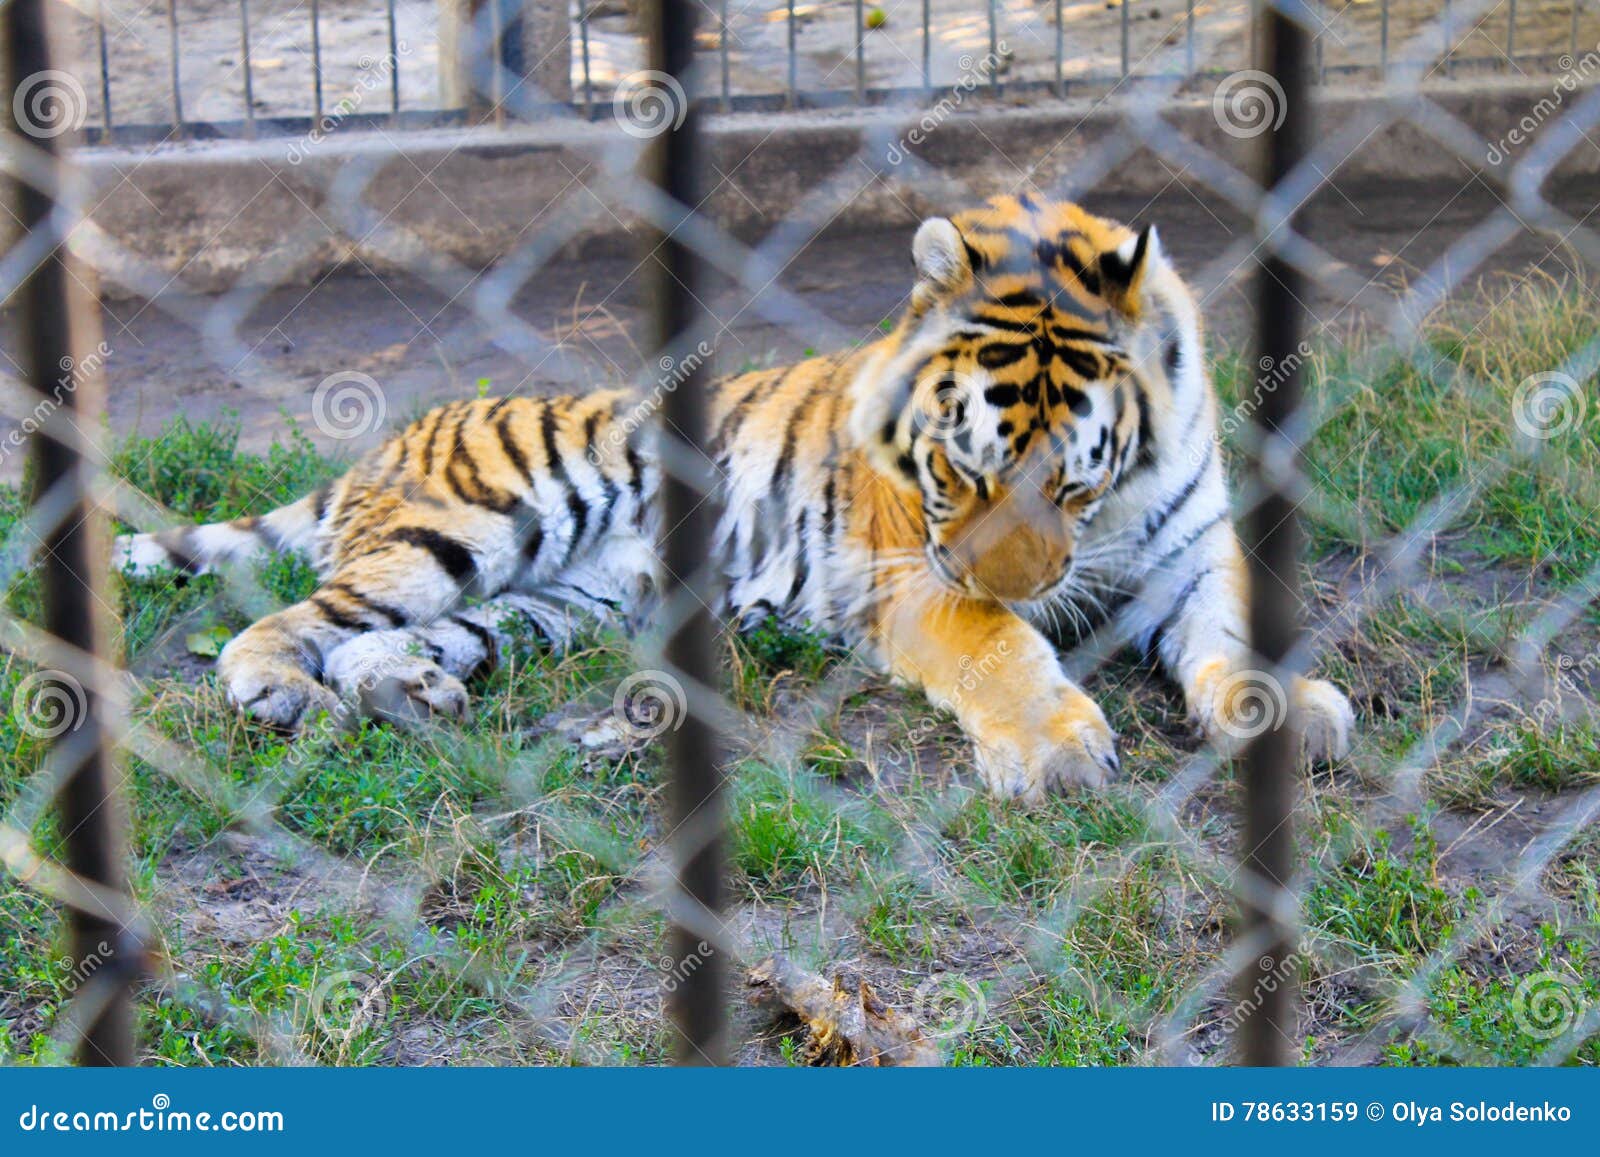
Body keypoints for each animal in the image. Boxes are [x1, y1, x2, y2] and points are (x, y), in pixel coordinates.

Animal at [114, 194, 1355, 804]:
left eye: (1072, 478)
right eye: (958, 469)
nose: (1004, 573)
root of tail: (390, 438)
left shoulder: (1196, 548)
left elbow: (1237, 634)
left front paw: (1294, 712)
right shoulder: (911, 577)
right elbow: (999, 644)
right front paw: (1057, 750)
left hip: (556, 602)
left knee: (391, 640)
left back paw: (413, 692)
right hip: (463, 529)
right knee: (289, 621)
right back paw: (282, 692)